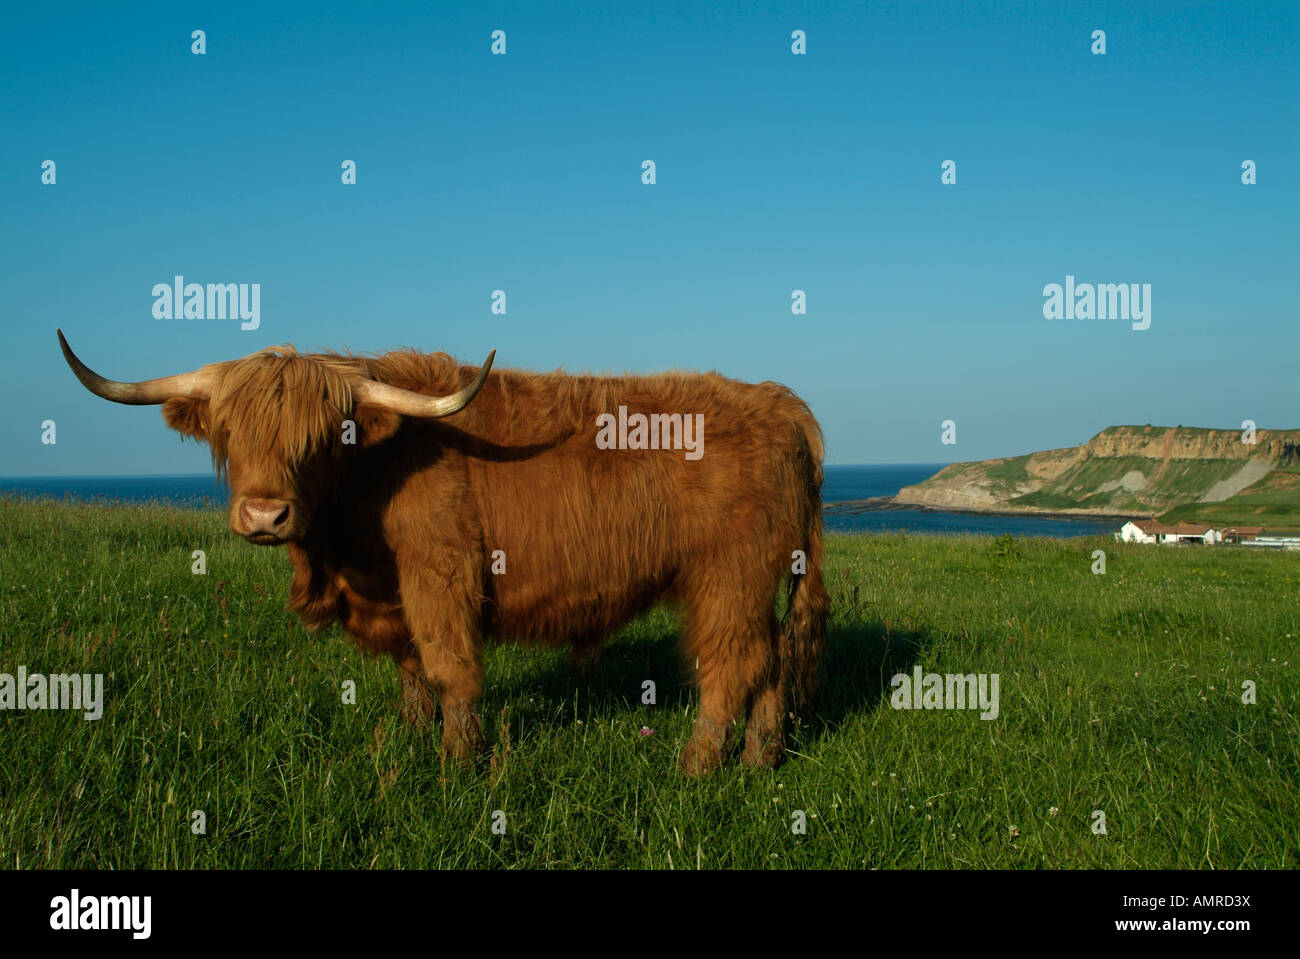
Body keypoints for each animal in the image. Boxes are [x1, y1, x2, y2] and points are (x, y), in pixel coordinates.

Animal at [58, 329, 827, 774]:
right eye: (227, 432)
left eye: (322, 435)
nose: (264, 515)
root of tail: (780, 402)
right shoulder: (389, 591)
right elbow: (410, 668)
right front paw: (410, 733)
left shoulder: (441, 571)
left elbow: (449, 664)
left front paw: (459, 762)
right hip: (758, 584)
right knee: (772, 665)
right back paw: (759, 761)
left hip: (728, 577)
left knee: (731, 667)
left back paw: (697, 766)